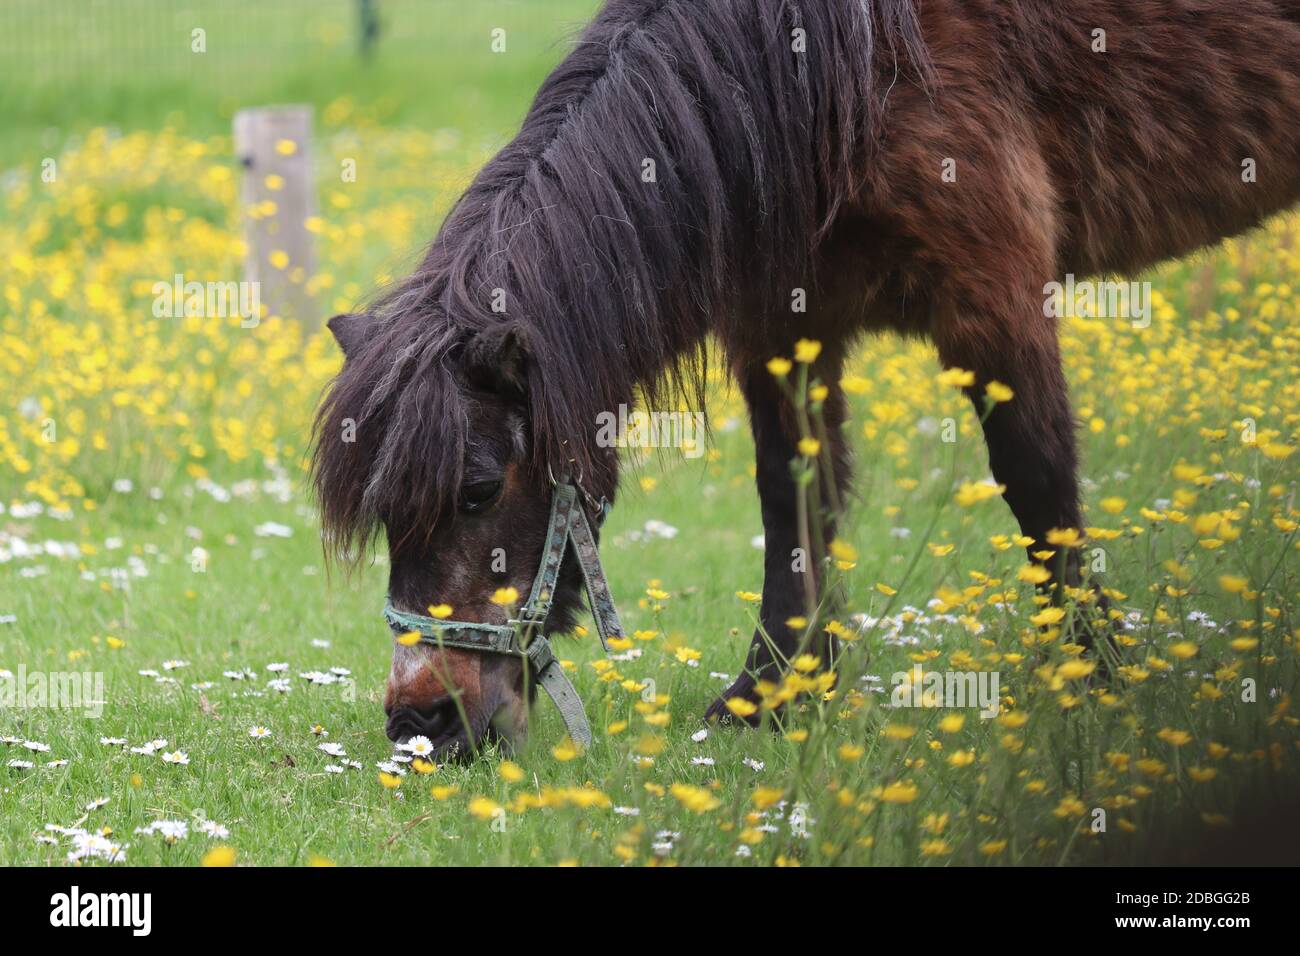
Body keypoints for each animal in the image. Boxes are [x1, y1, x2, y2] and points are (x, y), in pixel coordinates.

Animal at [312, 0, 1300, 756]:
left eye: (479, 490)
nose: (423, 722)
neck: (841, 72)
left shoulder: (997, 293)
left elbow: (1038, 481)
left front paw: (1092, 674)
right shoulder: (784, 326)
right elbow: (793, 497)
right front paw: (774, 692)